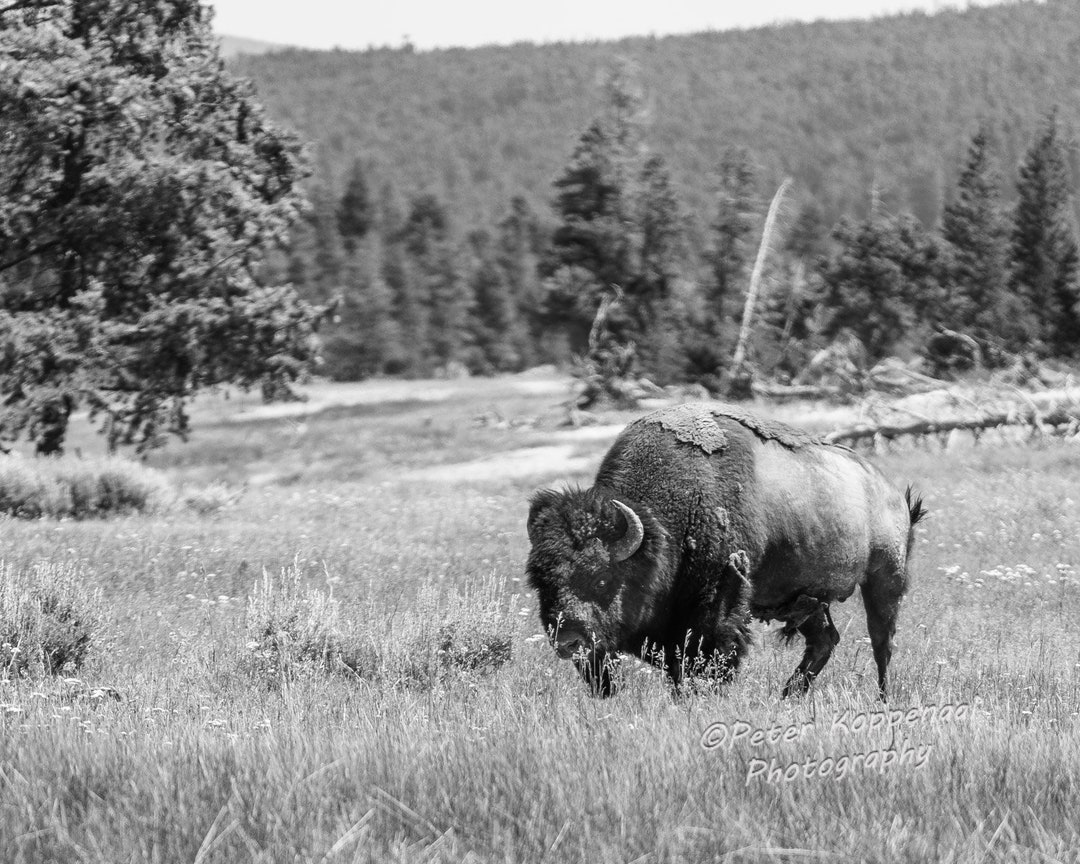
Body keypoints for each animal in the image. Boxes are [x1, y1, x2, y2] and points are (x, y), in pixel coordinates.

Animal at [526, 402, 925, 700]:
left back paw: (882, 698)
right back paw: (787, 696)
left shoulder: (719, 598)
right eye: (541, 582)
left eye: (602, 579)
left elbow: (710, 654)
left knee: (882, 643)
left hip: (885, 580)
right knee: (825, 640)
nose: (568, 641)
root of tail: (892, 493)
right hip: (809, 598)